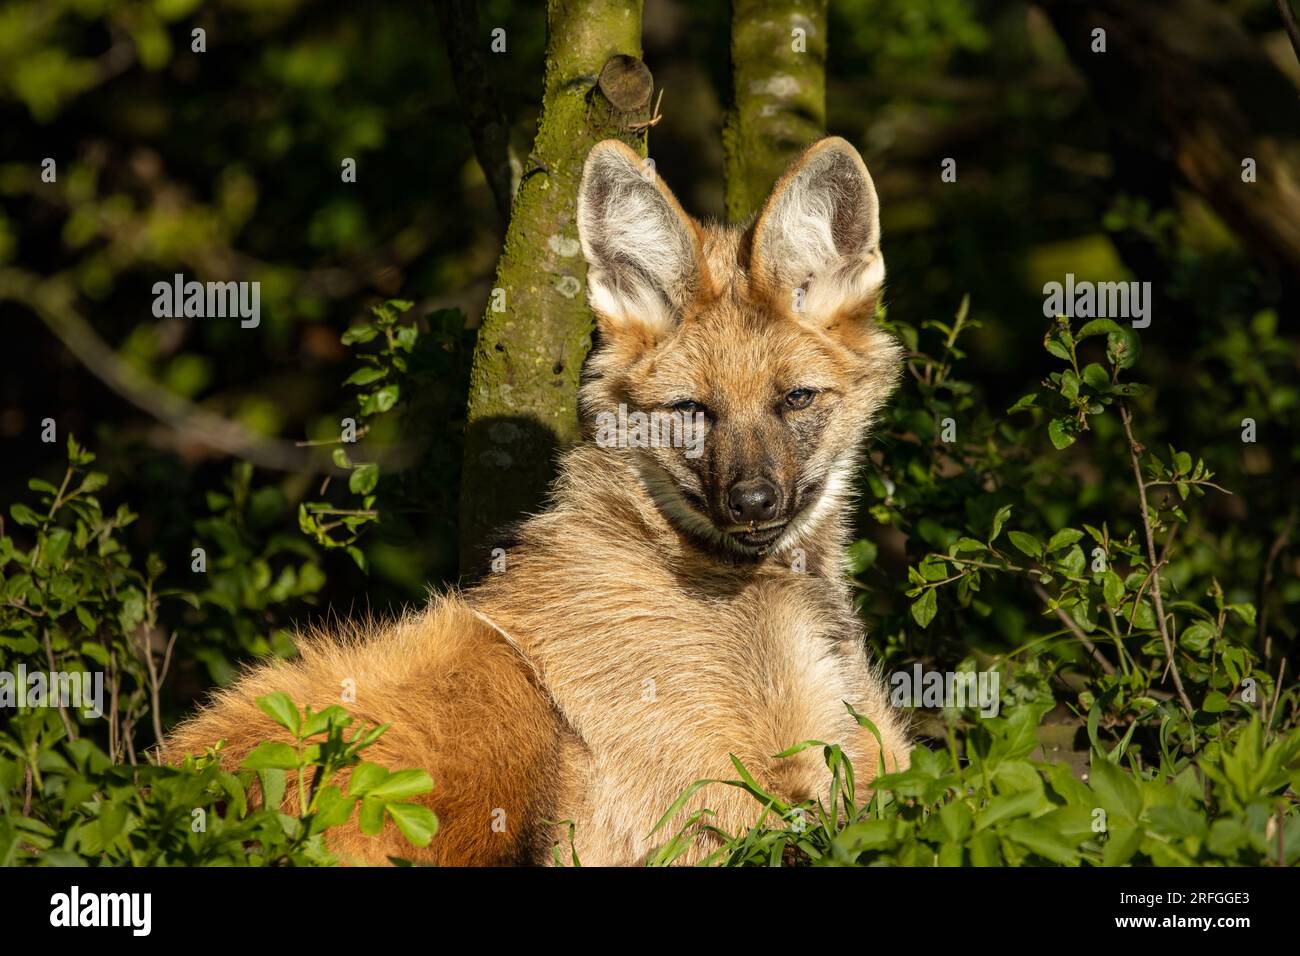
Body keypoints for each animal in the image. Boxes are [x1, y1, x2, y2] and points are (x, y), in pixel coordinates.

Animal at [166, 136, 911, 866]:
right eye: (692, 411)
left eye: (796, 399)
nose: (753, 501)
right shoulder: (723, 804)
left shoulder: (864, 757)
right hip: (490, 680)